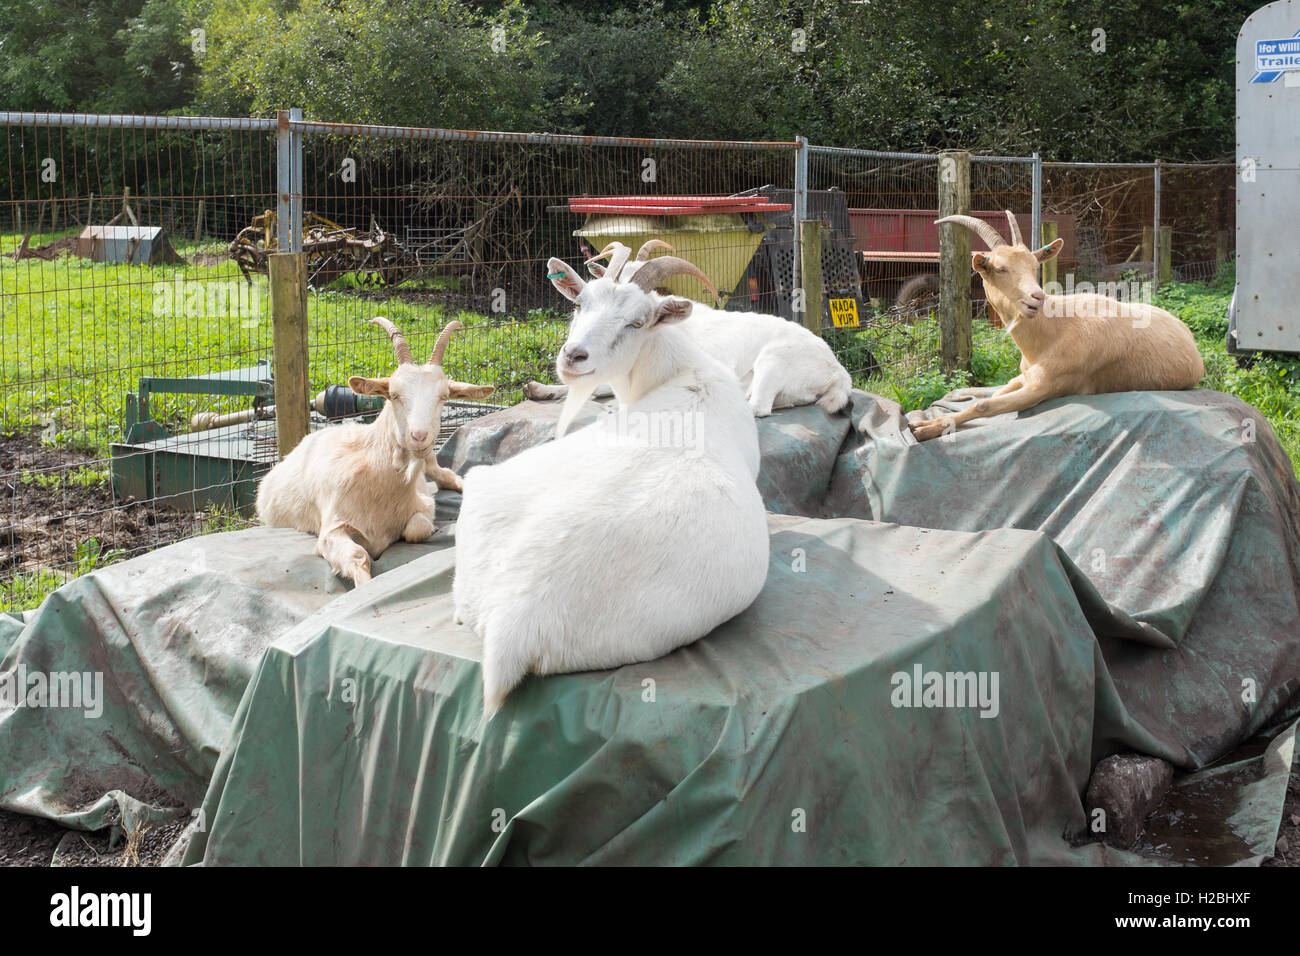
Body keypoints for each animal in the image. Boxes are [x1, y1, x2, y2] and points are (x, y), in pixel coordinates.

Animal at [256, 316, 494, 585]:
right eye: (394, 394)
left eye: (444, 396)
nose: (419, 436)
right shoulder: (332, 528)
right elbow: (359, 555)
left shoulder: (422, 505)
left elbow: (417, 528)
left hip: (430, 458)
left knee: (444, 472)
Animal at [524, 239, 852, 417]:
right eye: (579, 304)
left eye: (636, 321)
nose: (573, 355)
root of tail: (839, 373)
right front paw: (536, 388)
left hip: (774, 361)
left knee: (758, 406)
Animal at [909, 211, 1204, 442]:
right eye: (1000, 268)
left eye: (1034, 265)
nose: (1037, 298)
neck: (1053, 331)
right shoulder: (1026, 377)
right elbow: (997, 391)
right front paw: (924, 421)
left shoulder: (1044, 388)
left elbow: (984, 405)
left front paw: (924, 429)